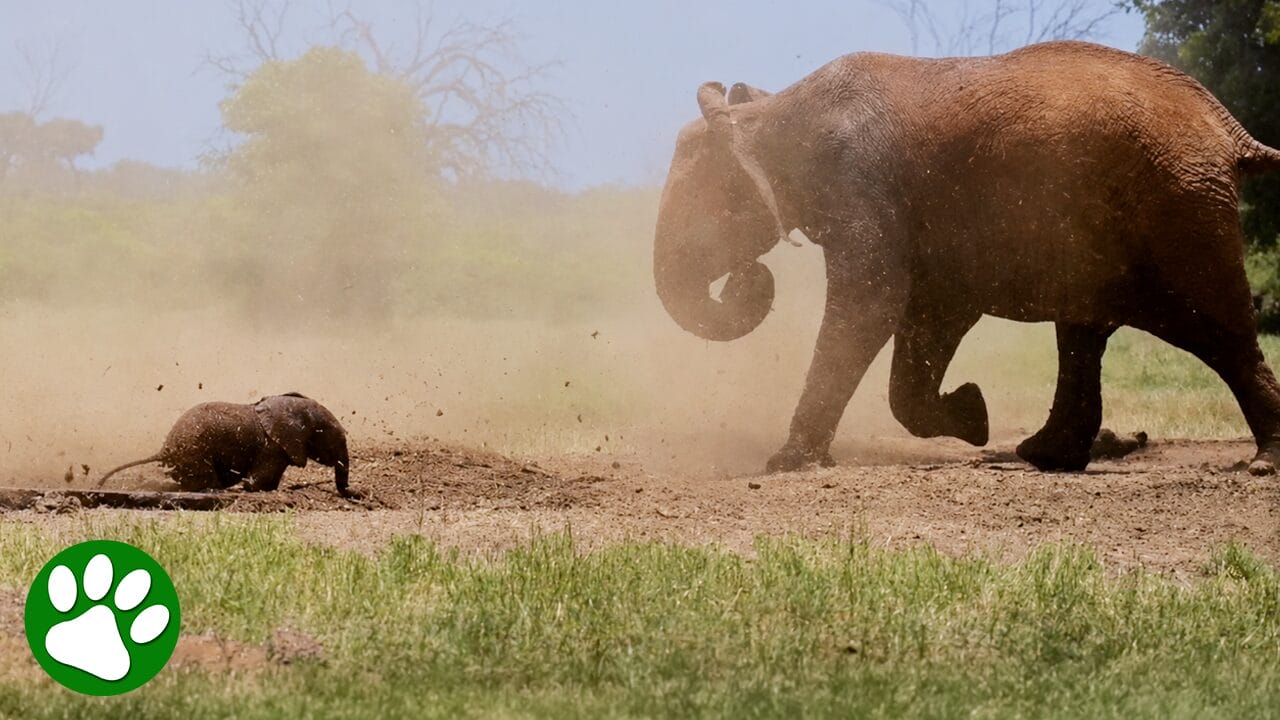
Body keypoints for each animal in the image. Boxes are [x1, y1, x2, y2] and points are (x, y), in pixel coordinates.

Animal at [97, 393, 356, 496]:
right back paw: (217, 491)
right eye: (327, 434)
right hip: (194, 452)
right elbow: (259, 477)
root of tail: (164, 450)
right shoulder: (272, 446)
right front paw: (248, 488)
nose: (356, 494)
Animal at [653, 41, 1280, 475]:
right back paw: (1041, 457)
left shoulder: (861, 183)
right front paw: (974, 417)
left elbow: (871, 303)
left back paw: (1262, 464)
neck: (773, 112)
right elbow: (929, 316)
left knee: (1219, 332)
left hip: (1181, 211)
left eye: (697, 206)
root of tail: (1229, 129)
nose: (745, 276)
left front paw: (785, 463)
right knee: (1082, 337)